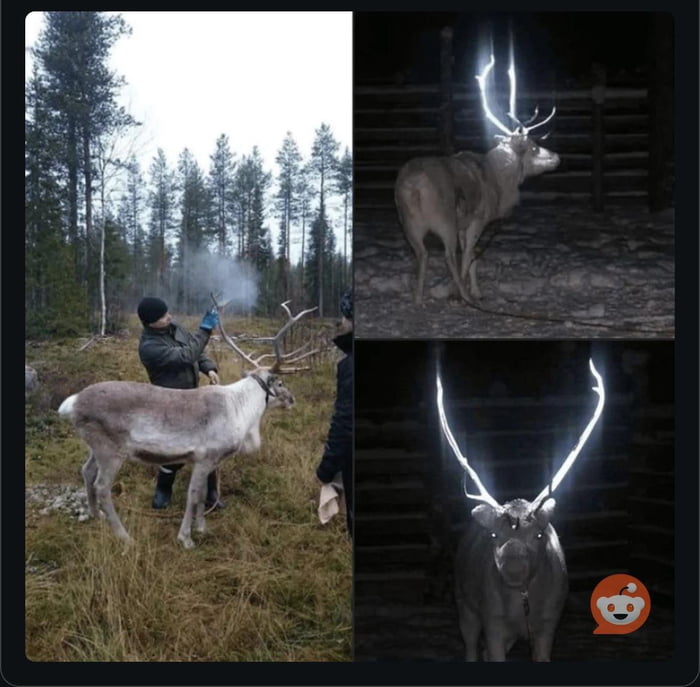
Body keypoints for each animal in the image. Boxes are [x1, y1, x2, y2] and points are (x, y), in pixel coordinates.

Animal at [57, 300, 318, 549]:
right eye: (281, 383)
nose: (293, 400)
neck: (241, 411)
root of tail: (73, 403)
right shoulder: (205, 456)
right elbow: (193, 496)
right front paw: (185, 538)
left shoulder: (208, 460)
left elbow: (202, 495)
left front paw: (202, 527)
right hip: (111, 450)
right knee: (102, 486)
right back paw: (125, 537)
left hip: (95, 446)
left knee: (86, 471)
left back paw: (95, 515)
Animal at [395, 53, 560, 305]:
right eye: (533, 147)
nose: (557, 157)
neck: (499, 186)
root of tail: (414, 186)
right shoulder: (477, 219)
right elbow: (469, 255)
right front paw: (461, 292)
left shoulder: (464, 225)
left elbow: (472, 255)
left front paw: (477, 291)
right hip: (444, 218)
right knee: (448, 255)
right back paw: (461, 295)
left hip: (409, 222)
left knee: (422, 253)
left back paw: (418, 299)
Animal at [437, 359, 605, 660]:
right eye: (494, 535)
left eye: (538, 535)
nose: (513, 566)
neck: (523, 604)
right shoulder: (492, 621)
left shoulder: (549, 623)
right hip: (464, 603)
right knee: (471, 646)